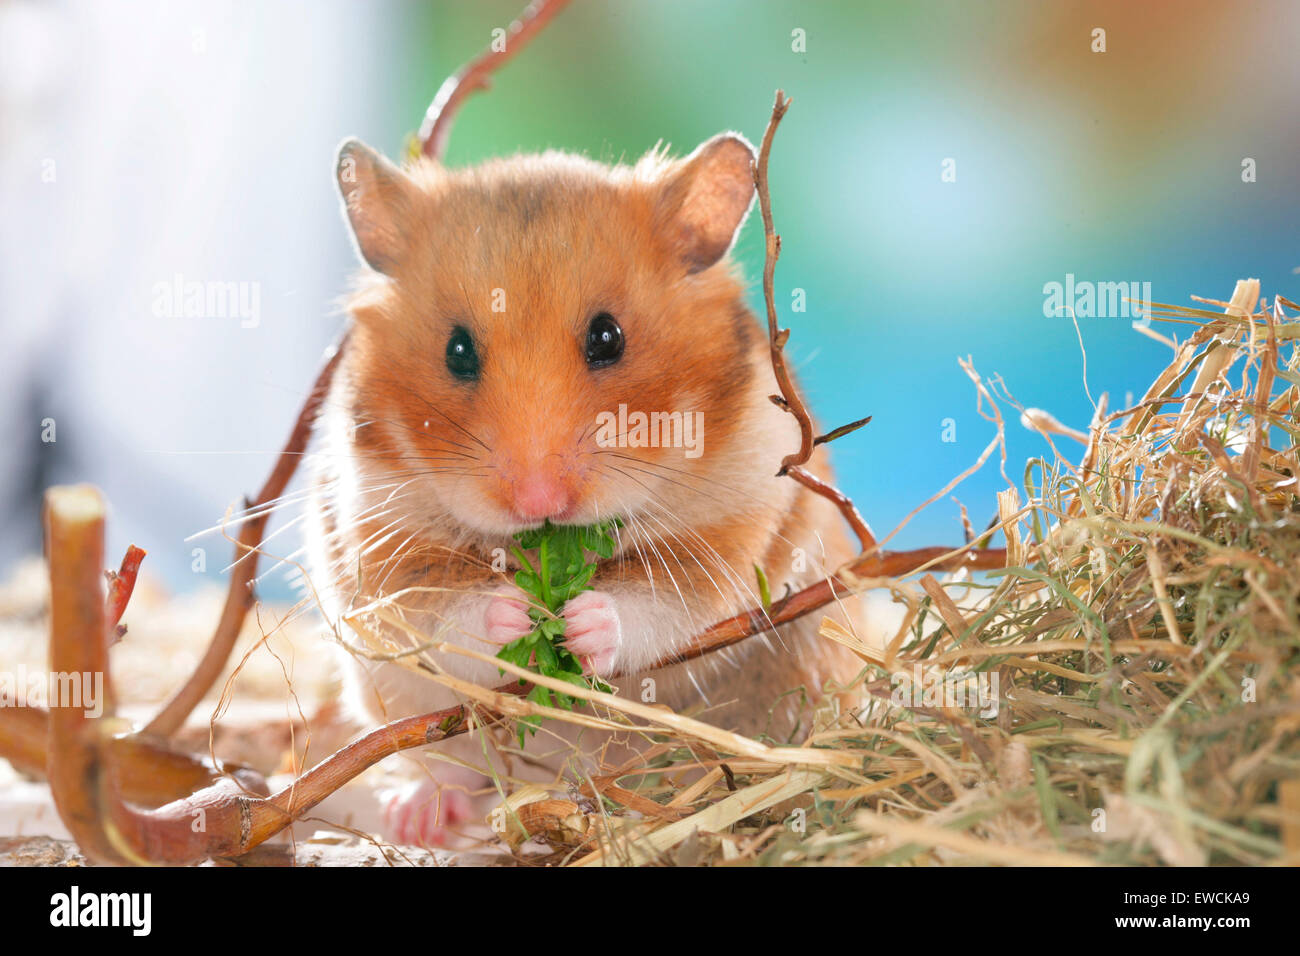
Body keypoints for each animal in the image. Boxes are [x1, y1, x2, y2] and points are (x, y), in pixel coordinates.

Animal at [305, 132, 866, 847]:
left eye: (608, 337)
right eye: (457, 351)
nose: (539, 504)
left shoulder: (735, 532)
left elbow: (664, 604)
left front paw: (579, 623)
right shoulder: (377, 544)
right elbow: (441, 610)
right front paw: (519, 611)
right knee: (452, 765)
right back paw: (422, 817)